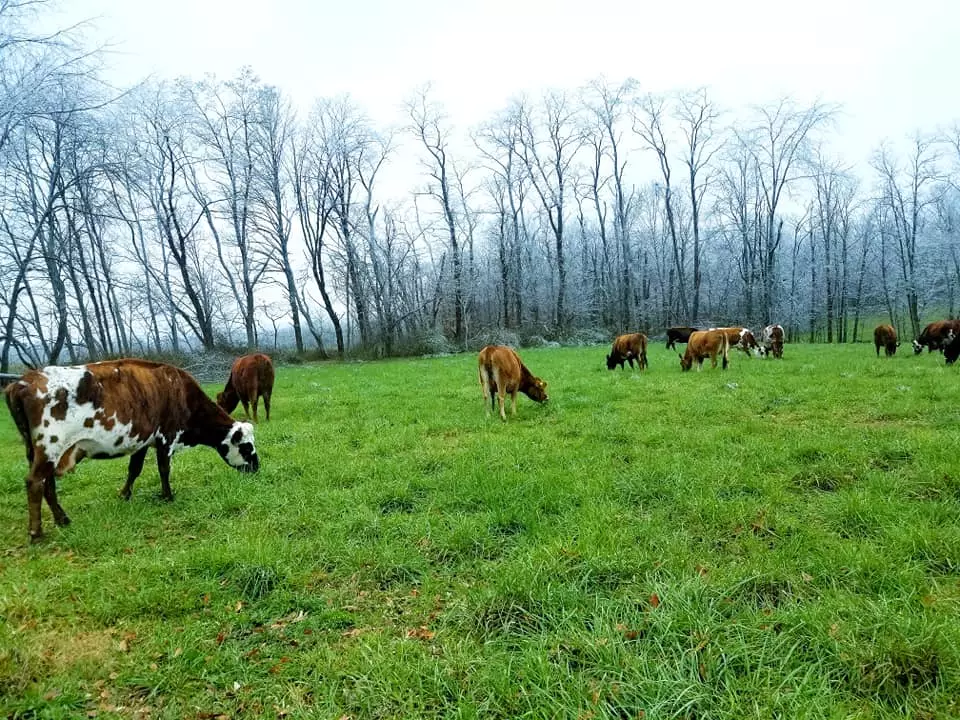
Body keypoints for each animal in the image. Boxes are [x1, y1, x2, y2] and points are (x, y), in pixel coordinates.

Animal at [4, 358, 258, 540]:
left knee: (48, 484)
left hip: (40, 452)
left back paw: (62, 519)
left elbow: (134, 469)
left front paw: (124, 494)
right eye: (247, 447)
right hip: (50, 447)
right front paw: (168, 496)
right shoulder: (166, 437)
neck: (178, 389)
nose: (257, 467)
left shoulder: (142, 441)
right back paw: (36, 532)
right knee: (35, 483)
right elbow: (164, 469)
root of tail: (22, 382)